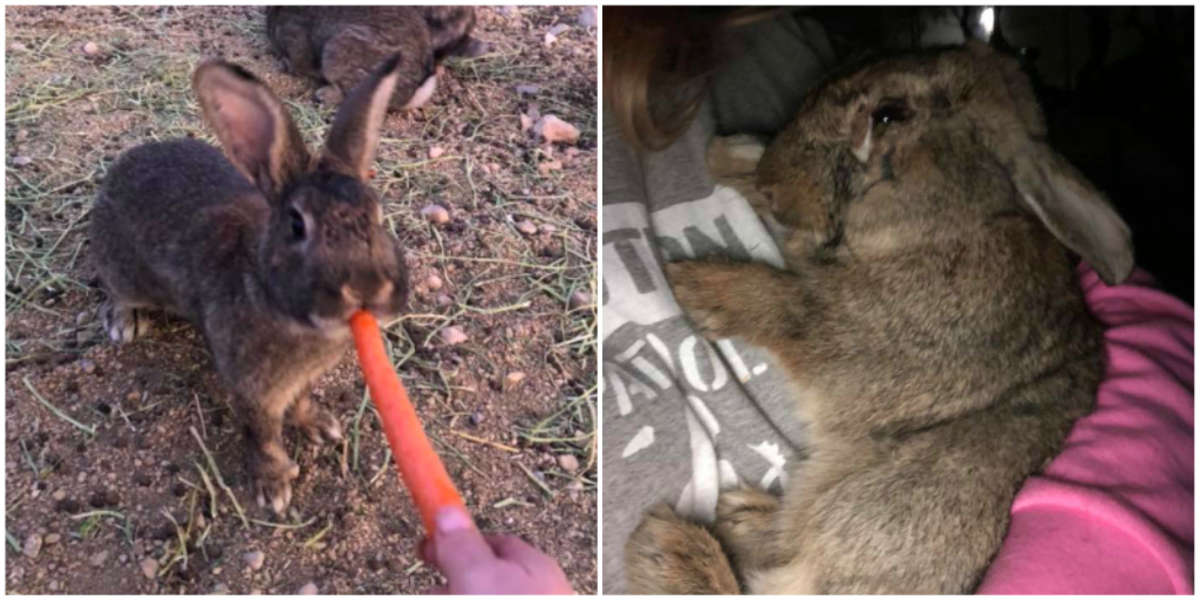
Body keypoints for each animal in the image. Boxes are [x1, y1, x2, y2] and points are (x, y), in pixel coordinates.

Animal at [89, 54, 411, 515]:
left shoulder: (301, 379)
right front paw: (273, 486)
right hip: (122, 270)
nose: (368, 289)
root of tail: (117, 171)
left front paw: (320, 426)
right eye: (296, 224)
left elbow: (302, 400)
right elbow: (262, 436)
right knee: (114, 288)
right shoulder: (252, 389)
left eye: (378, 215)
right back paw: (123, 321)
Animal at [624, 40, 1134, 594]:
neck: (957, 223)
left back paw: (672, 547)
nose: (775, 185)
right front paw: (732, 154)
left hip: (876, 508)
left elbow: (789, 303)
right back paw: (737, 519)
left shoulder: (849, 329)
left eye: (888, 114)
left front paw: (694, 282)